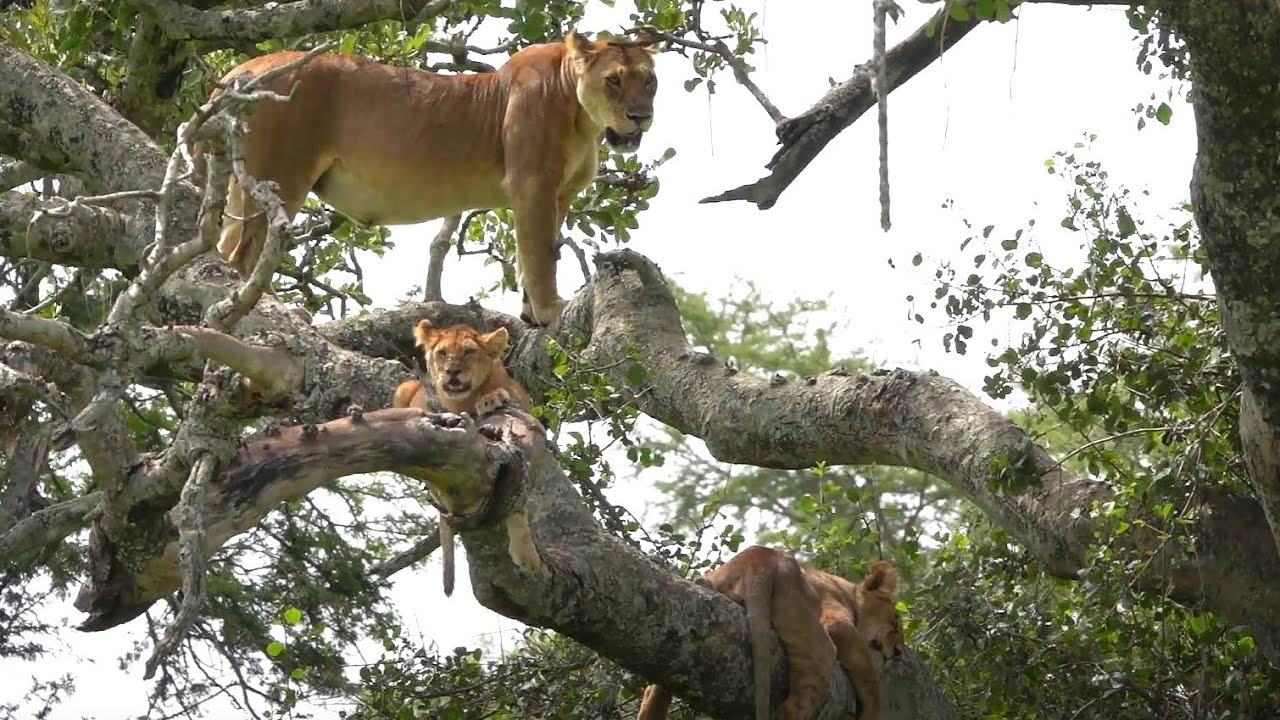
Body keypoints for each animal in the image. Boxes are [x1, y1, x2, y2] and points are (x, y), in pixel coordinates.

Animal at [211, 29, 660, 325]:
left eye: (650, 80)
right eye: (613, 80)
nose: (641, 117)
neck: (583, 118)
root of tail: (244, 68)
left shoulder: (560, 193)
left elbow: (540, 251)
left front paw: (531, 314)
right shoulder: (532, 183)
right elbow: (537, 255)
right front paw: (551, 311)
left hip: (242, 186)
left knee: (224, 250)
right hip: (281, 176)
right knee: (244, 256)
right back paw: (273, 311)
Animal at [392, 320, 540, 595]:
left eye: (469, 352)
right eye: (442, 353)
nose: (452, 371)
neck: (463, 400)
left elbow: (518, 503)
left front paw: (527, 555)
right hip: (403, 387)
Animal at [636, 545, 905, 720]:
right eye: (895, 621)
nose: (899, 653)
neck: (845, 590)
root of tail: (757, 562)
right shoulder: (836, 622)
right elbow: (872, 682)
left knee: (659, 683)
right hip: (818, 646)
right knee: (794, 709)